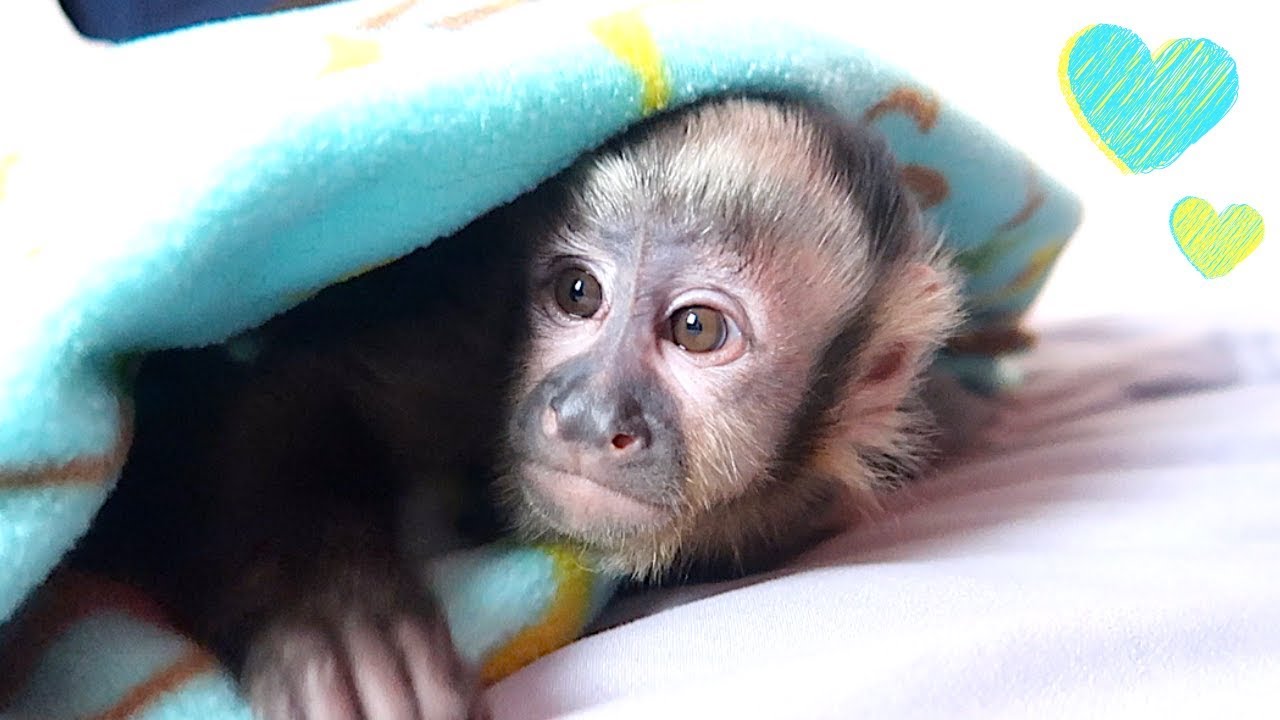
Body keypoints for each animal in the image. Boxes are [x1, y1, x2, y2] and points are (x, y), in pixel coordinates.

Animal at [70, 95, 963, 720]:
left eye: (698, 329)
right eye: (577, 293)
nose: (587, 415)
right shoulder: (469, 345)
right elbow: (290, 396)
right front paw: (333, 623)